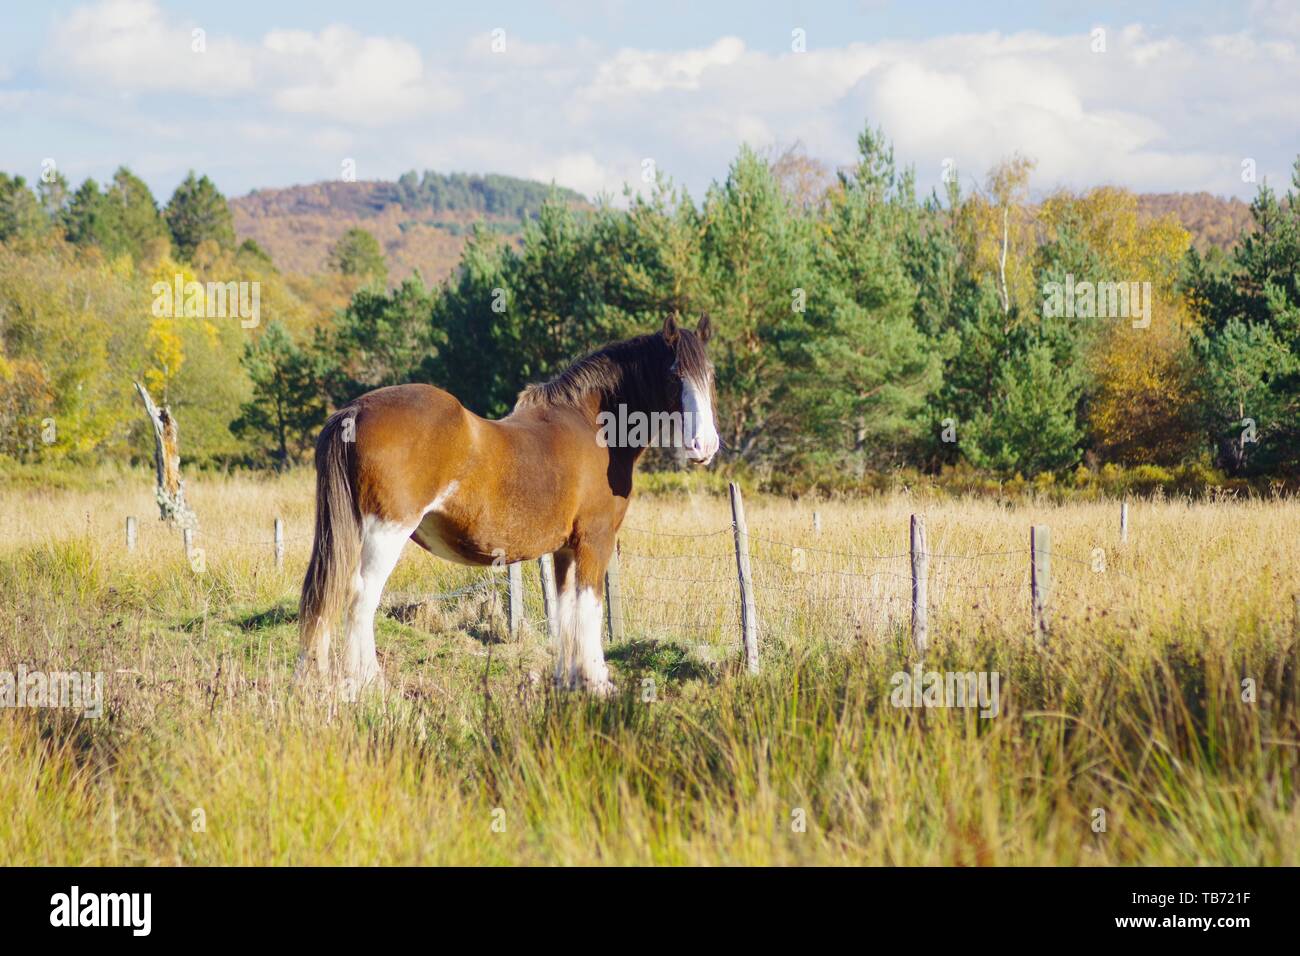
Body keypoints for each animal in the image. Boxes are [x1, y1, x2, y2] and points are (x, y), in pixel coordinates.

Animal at [295, 313, 719, 698]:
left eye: (710, 376)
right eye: (674, 375)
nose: (705, 446)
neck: (591, 427)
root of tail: (356, 410)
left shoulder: (564, 550)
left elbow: (565, 610)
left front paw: (568, 681)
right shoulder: (594, 543)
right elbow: (590, 609)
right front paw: (597, 683)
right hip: (387, 533)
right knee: (360, 599)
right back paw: (367, 684)